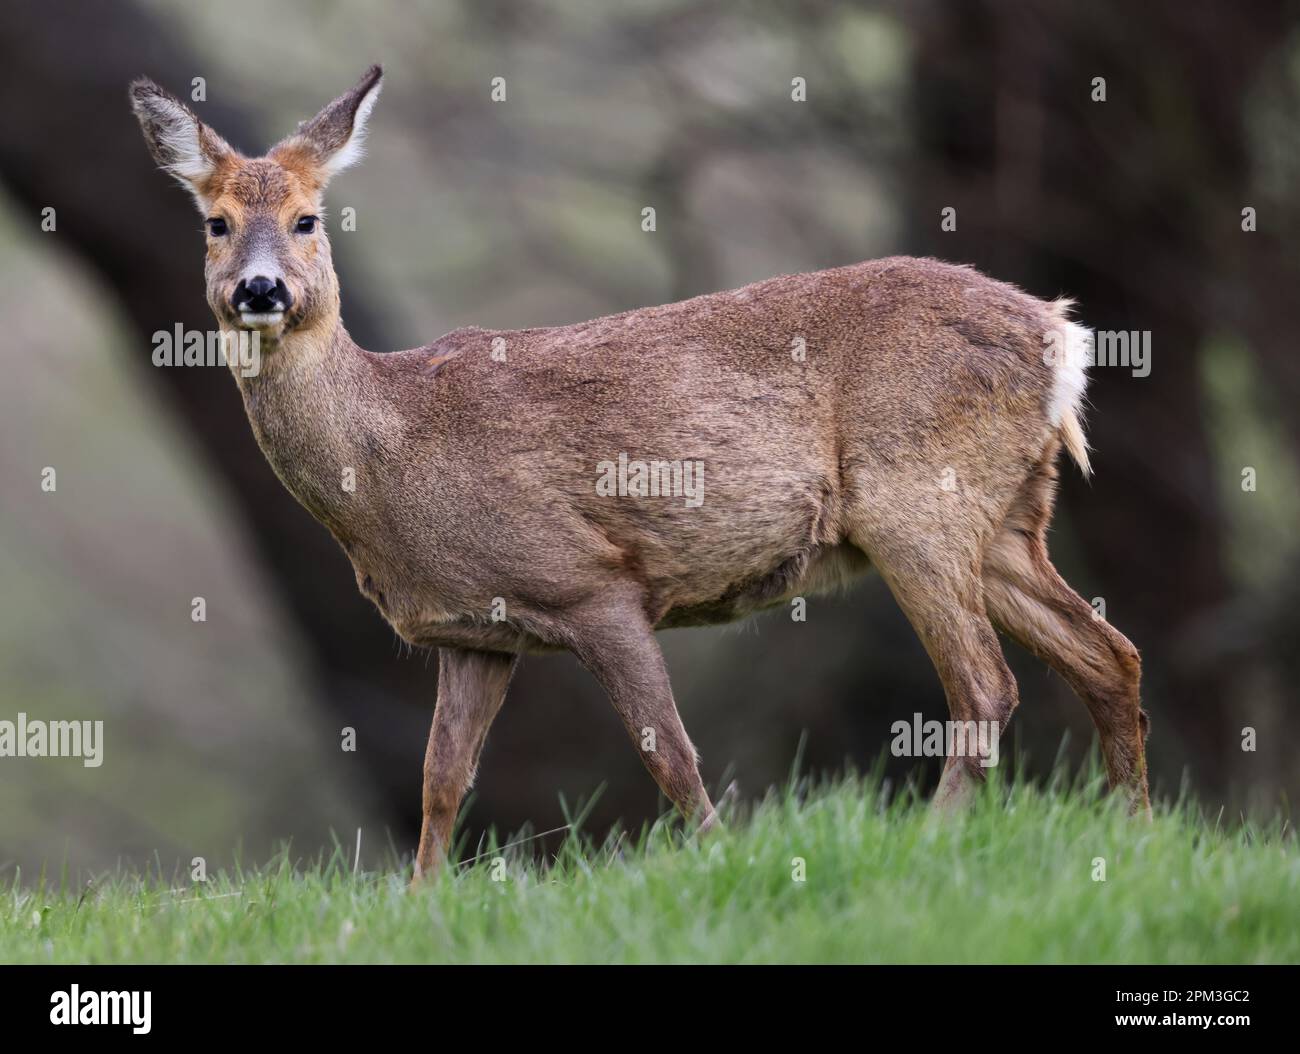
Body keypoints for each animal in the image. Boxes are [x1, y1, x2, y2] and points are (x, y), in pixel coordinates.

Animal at [130, 65, 1151, 881]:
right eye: (216, 223)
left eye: (308, 218)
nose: (262, 290)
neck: (390, 457)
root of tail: (1061, 336)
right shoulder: (476, 634)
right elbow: (441, 783)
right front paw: (418, 905)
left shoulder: (594, 585)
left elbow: (672, 756)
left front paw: (720, 862)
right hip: (1008, 517)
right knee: (1109, 654)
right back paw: (1132, 837)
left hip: (917, 499)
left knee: (985, 686)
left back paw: (939, 848)